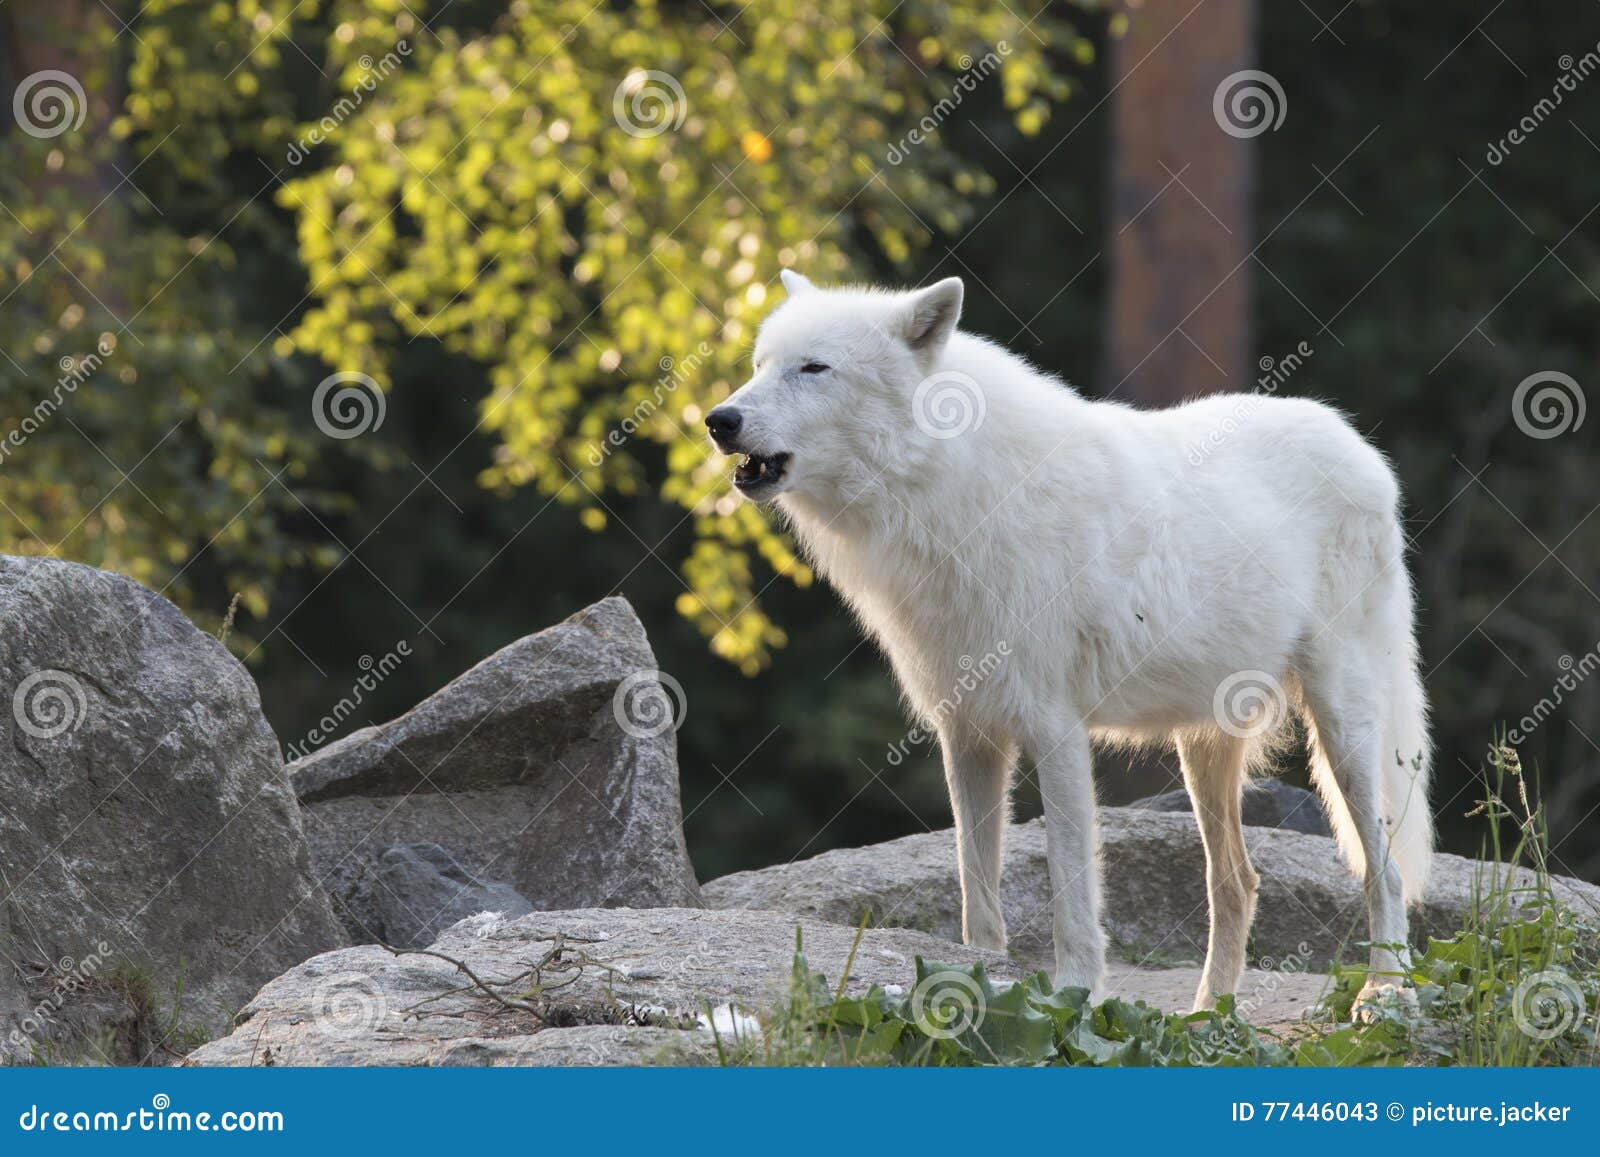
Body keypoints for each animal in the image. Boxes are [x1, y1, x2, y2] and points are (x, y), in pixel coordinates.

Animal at [706, 271, 1432, 1012]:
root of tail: (1360, 445)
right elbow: (975, 886)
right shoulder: (967, 732)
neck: (953, 495)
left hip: (1342, 728)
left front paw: (1076, 995)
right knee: (1237, 882)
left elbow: (1069, 886)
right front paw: (974, 977)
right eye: (759, 364)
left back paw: (1384, 992)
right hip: (1205, 744)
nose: (718, 419)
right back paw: (1207, 1016)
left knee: (1384, 871)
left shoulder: (1052, 726)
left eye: (814, 369)